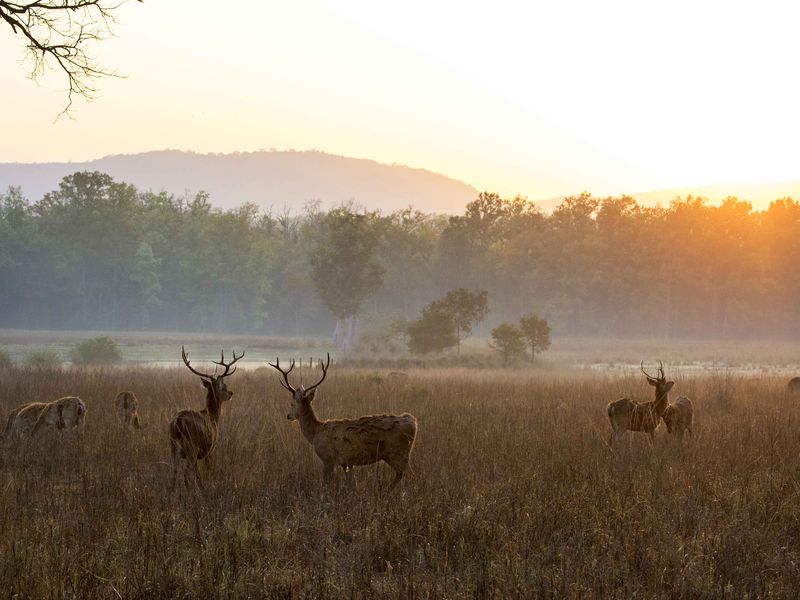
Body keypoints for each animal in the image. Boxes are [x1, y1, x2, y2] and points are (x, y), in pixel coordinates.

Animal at [168, 346, 243, 490]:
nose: (231, 393)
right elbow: (209, 471)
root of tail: (178, 422)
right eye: (224, 386)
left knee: (174, 472)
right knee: (186, 474)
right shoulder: (210, 448)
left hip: (173, 446)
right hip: (191, 447)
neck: (213, 418)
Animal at [269, 353, 418, 489]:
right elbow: (352, 484)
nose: (288, 416)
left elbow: (326, 484)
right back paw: (387, 490)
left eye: (292, 403)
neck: (315, 433)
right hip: (394, 454)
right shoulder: (347, 462)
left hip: (399, 452)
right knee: (400, 475)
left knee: (410, 475)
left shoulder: (328, 459)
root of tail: (413, 422)